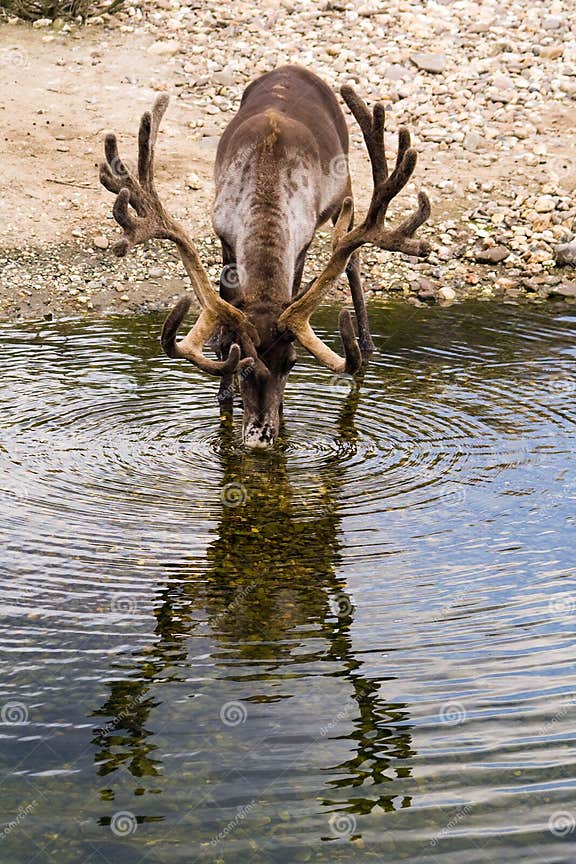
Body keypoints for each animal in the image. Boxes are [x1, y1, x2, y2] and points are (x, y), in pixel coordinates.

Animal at [99, 65, 431, 448]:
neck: (267, 186)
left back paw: (367, 343)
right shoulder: (224, 233)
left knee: (352, 259)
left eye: (292, 362)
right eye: (243, 365)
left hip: (344, 184)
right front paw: (224, 384)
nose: (260, 435)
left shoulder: (303, 242)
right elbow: (225, 308)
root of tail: (293, 68)